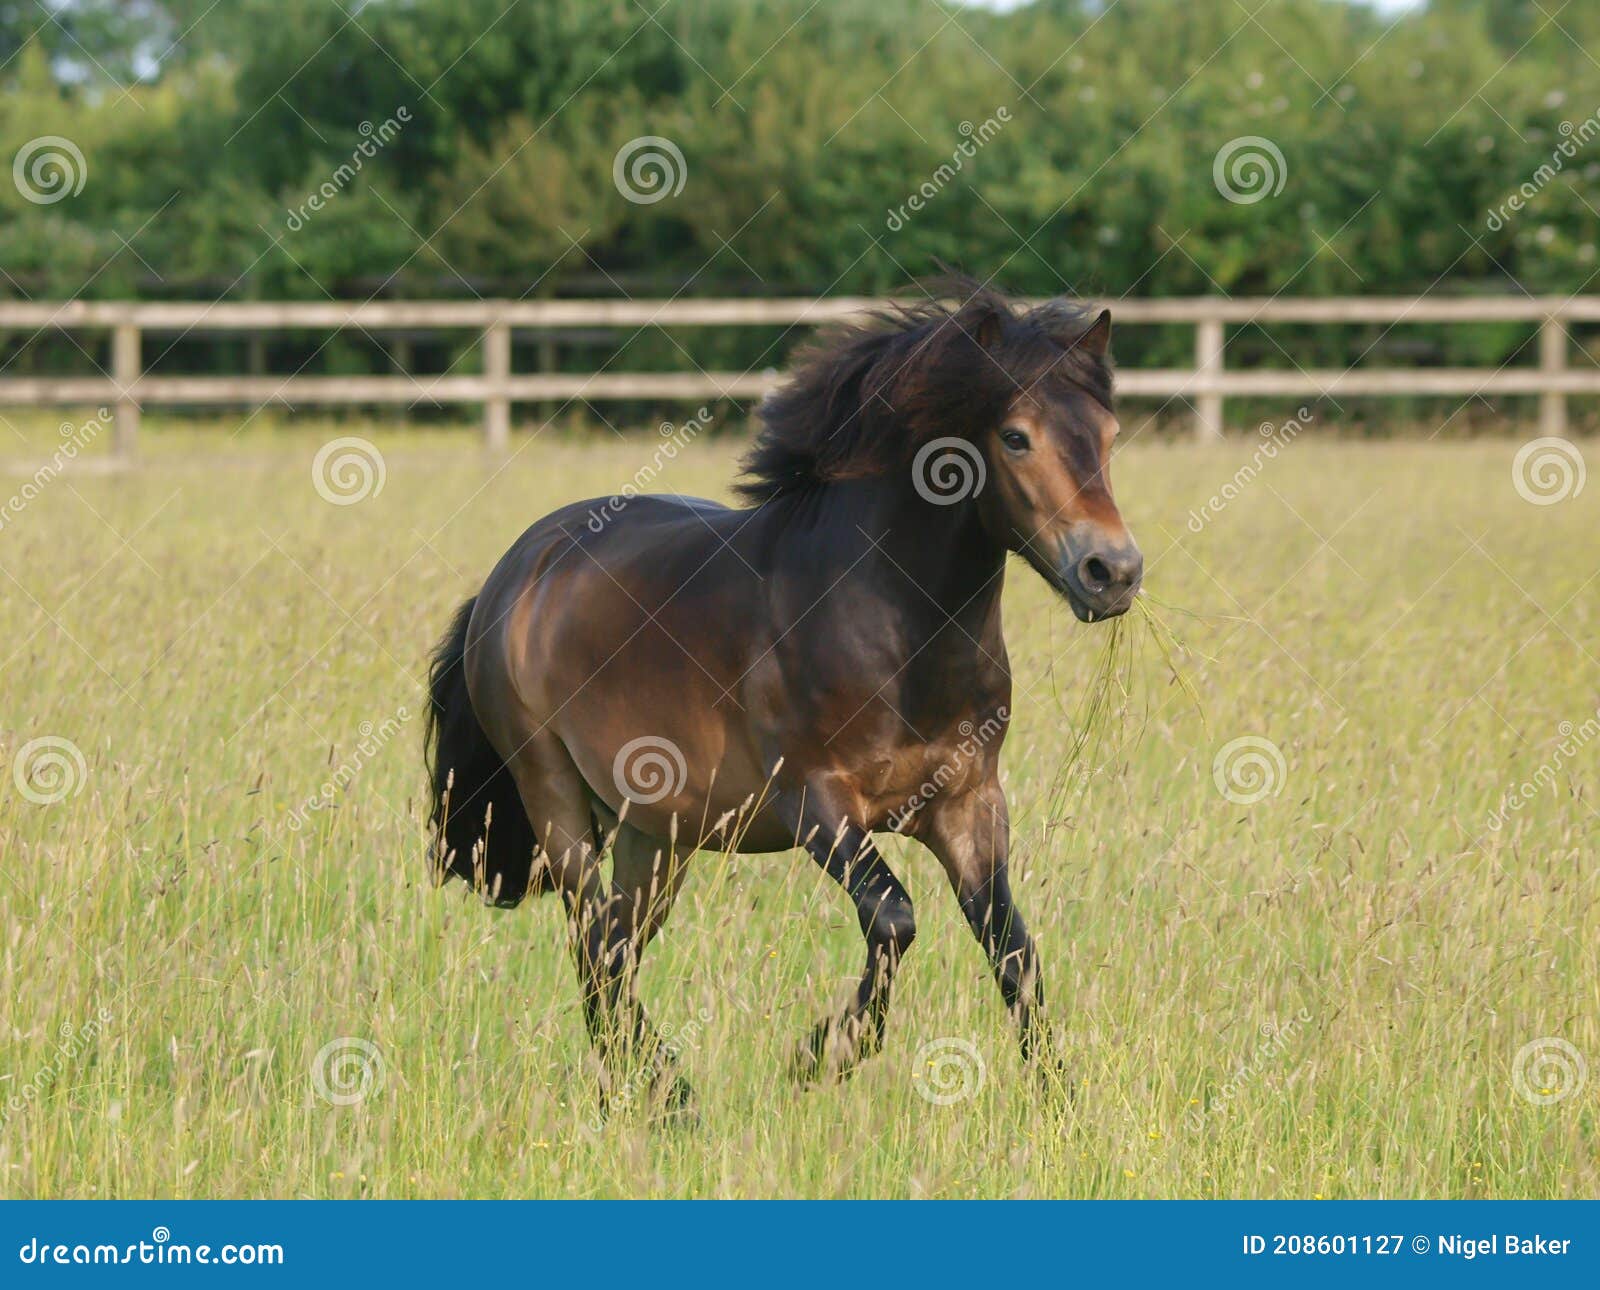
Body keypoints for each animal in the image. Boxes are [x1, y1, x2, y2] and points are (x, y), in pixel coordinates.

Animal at [424, 284, 1143, 1107]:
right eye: (1017, 437)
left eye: (1109, 434)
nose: (1112, 572)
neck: (894, 629)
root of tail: (516, 572)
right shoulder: (815, 802)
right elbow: (895, 918)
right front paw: (822, 1054)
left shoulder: (969, 805)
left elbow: (1013, 949)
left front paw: (1061, 1101)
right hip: (556, 802)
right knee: (594, 943)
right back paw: (665, 1091)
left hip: (655, 833)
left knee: (613, 945)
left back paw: (647, 1093)